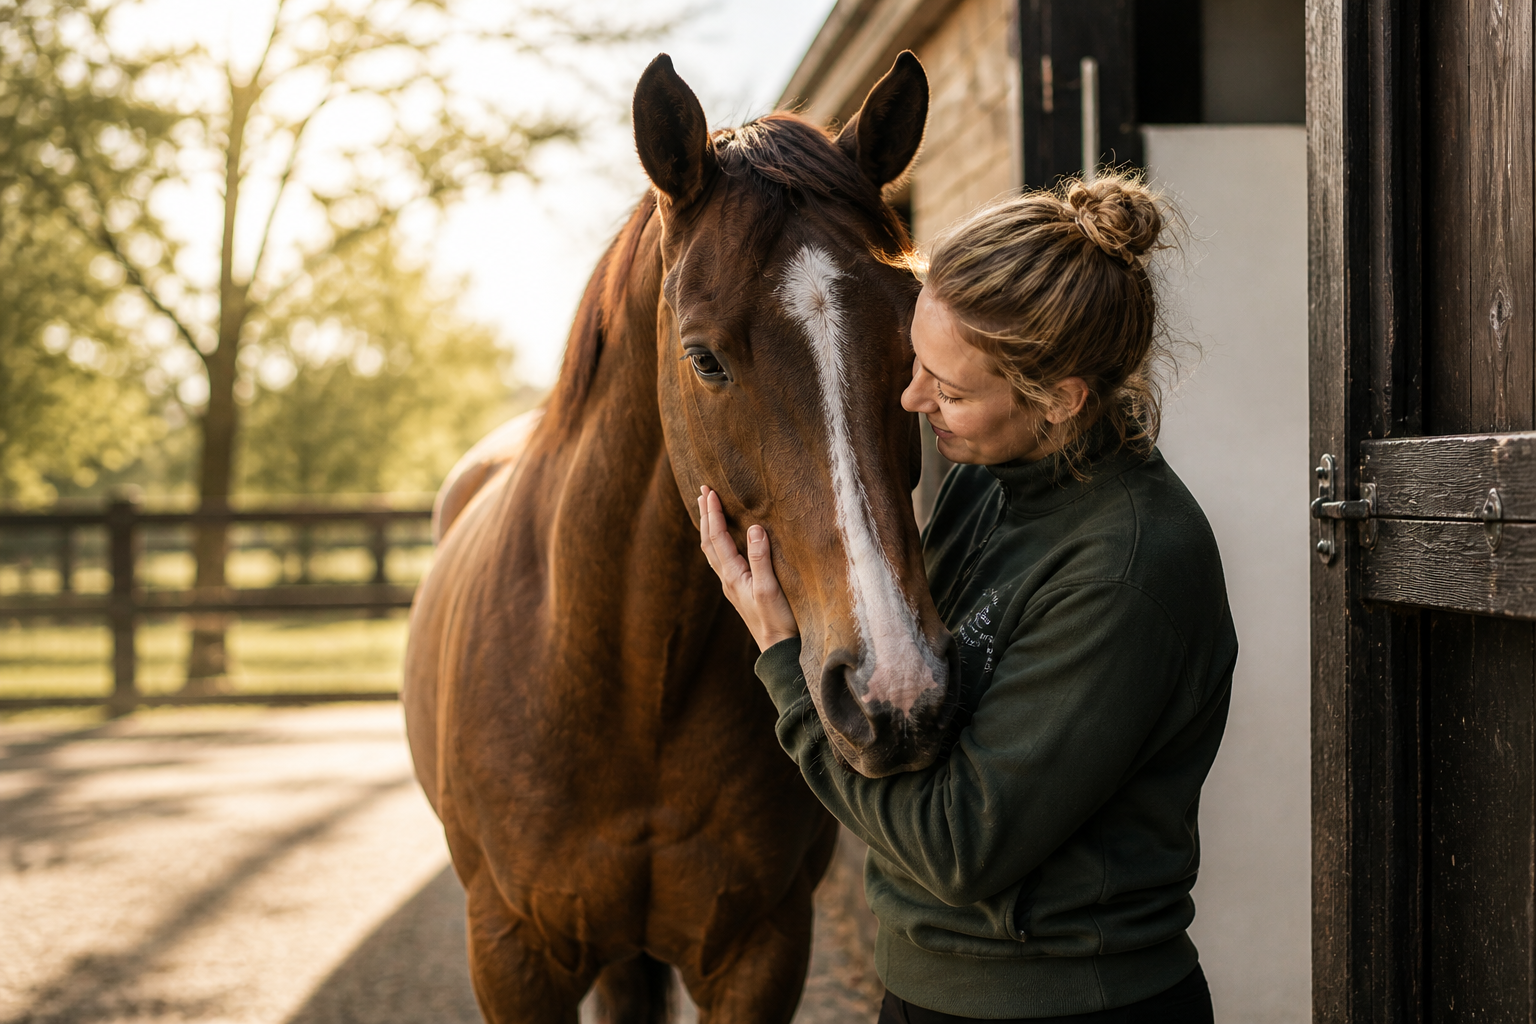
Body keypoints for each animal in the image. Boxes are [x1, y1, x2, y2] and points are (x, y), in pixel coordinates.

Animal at [403, 52, 956, 1023]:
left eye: (912, 348)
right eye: (703, 358)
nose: (897, 688)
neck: (632, 692)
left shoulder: (761, 949)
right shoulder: (511, 954)